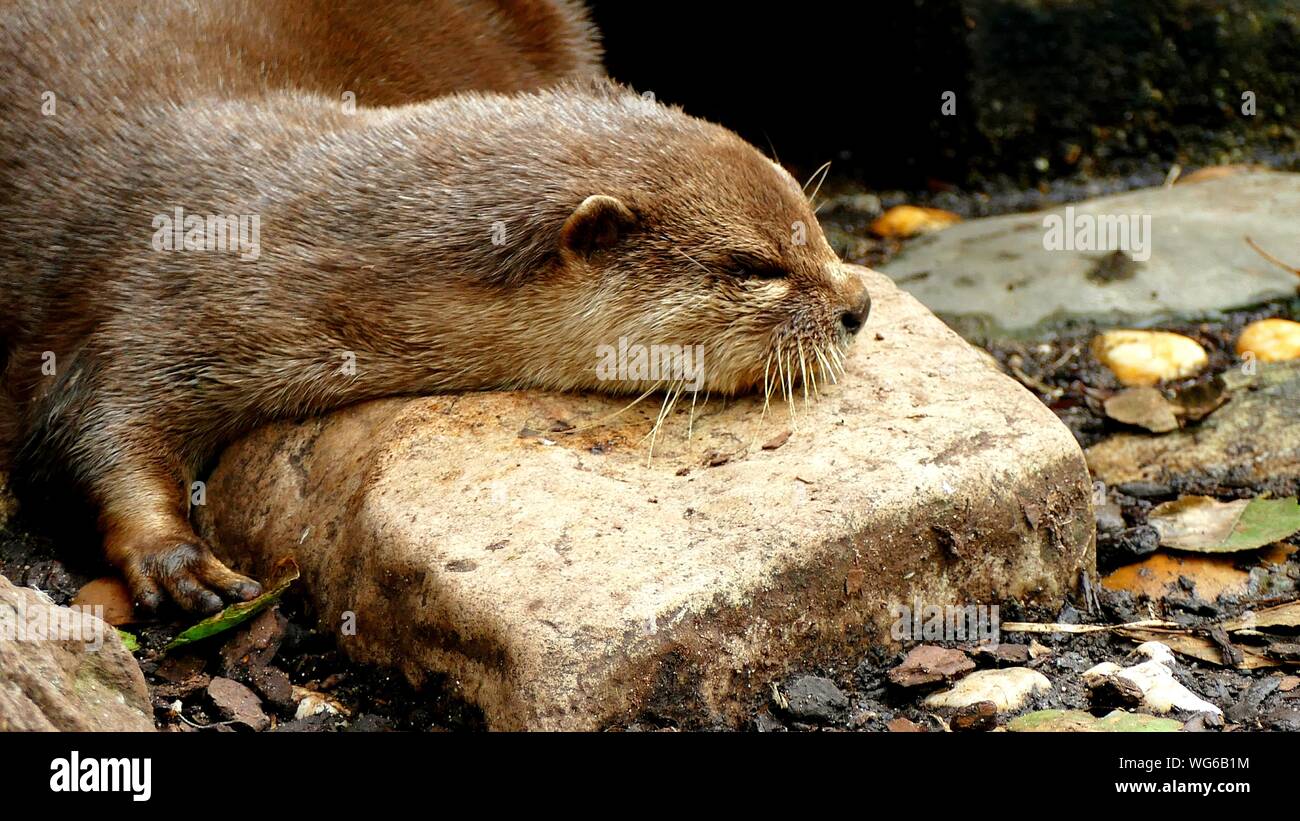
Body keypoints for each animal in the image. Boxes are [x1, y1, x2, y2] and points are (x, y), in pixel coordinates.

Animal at [0, 4, 871, 613]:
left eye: (813, 217)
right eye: (755, 266)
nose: (858, 304)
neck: (288, 229)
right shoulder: (150, 298)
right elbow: (89, 424)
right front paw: (178, 560)